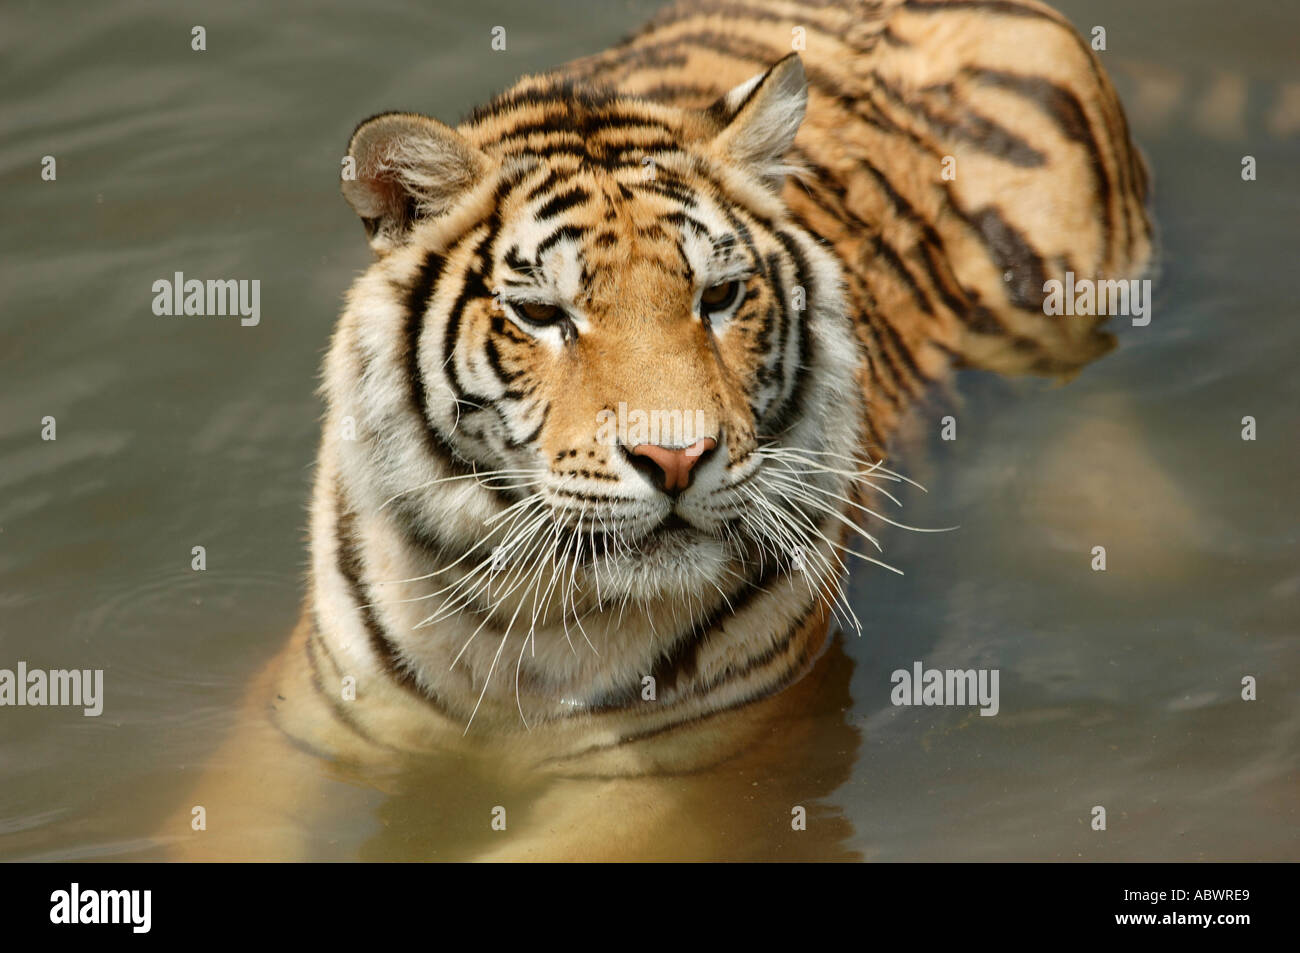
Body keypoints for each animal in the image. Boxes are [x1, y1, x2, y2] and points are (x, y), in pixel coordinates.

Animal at [163, 0, 1152, 861]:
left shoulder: (669, 773)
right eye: (542, 313)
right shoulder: (308, 719)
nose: (676, 458)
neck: (512, 616)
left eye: (719, 296)